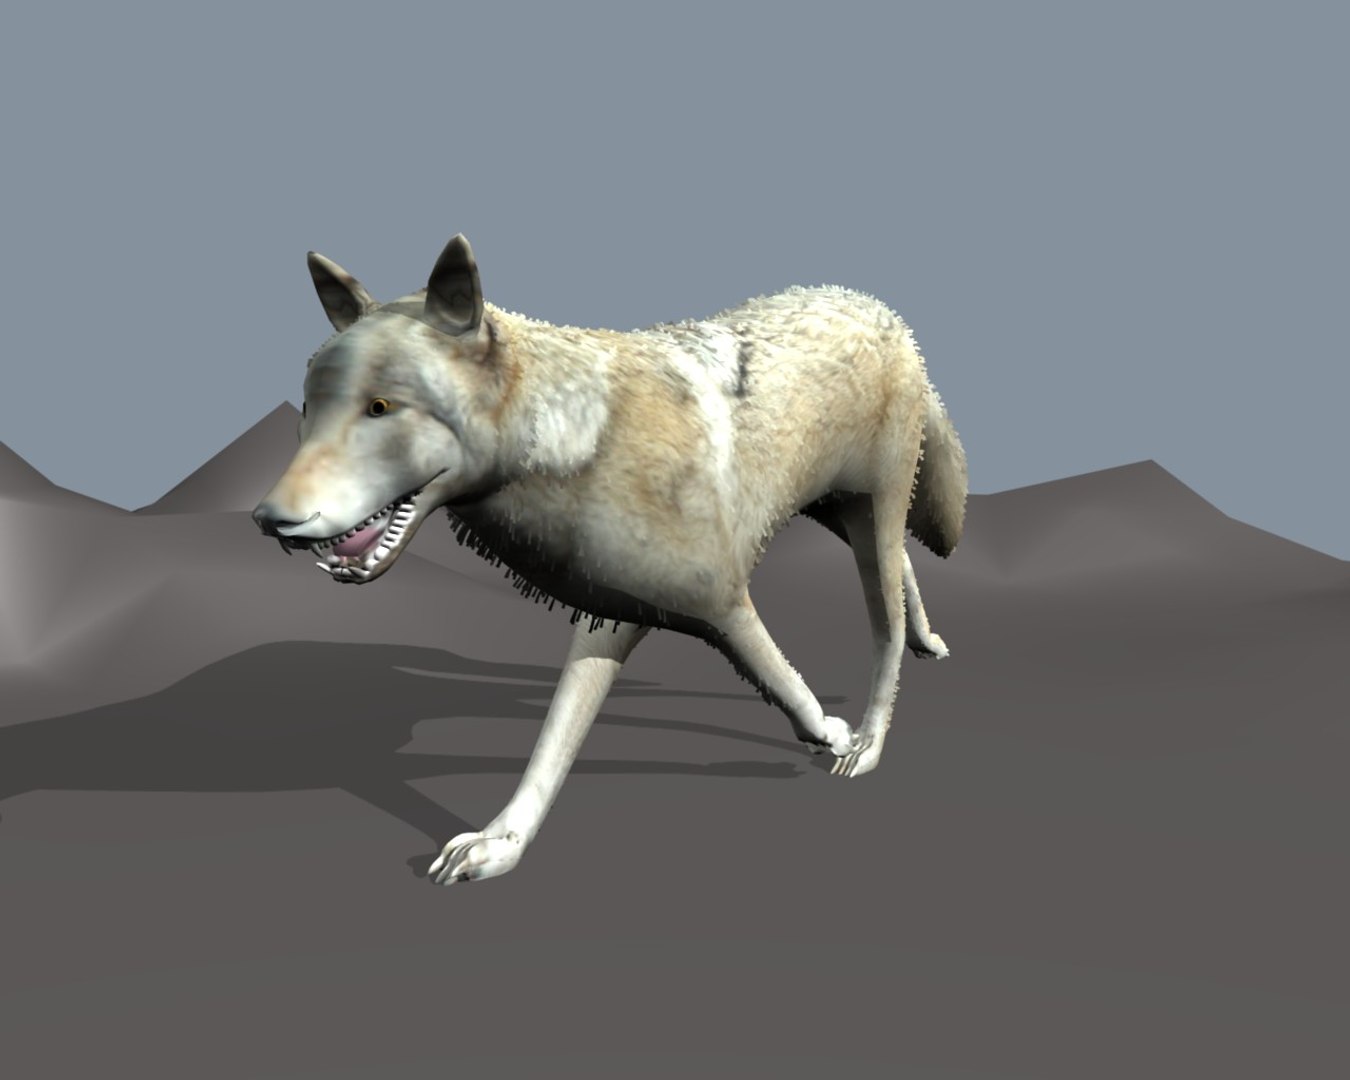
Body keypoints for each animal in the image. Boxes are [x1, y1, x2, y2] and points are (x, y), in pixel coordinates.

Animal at [253, 234, 968, 884]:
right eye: (309, 411)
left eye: (379, 408)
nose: (268, 520)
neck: (574, 445)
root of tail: (874, 305)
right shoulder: (610, 618)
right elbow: (551, 747)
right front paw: (499, 843)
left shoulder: (725, 603)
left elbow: (783, 678)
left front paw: (831, 734)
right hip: (838, 512)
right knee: (903, 569)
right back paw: (929, 640)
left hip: (870, 512)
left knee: (885, 623)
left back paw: (870, 740)